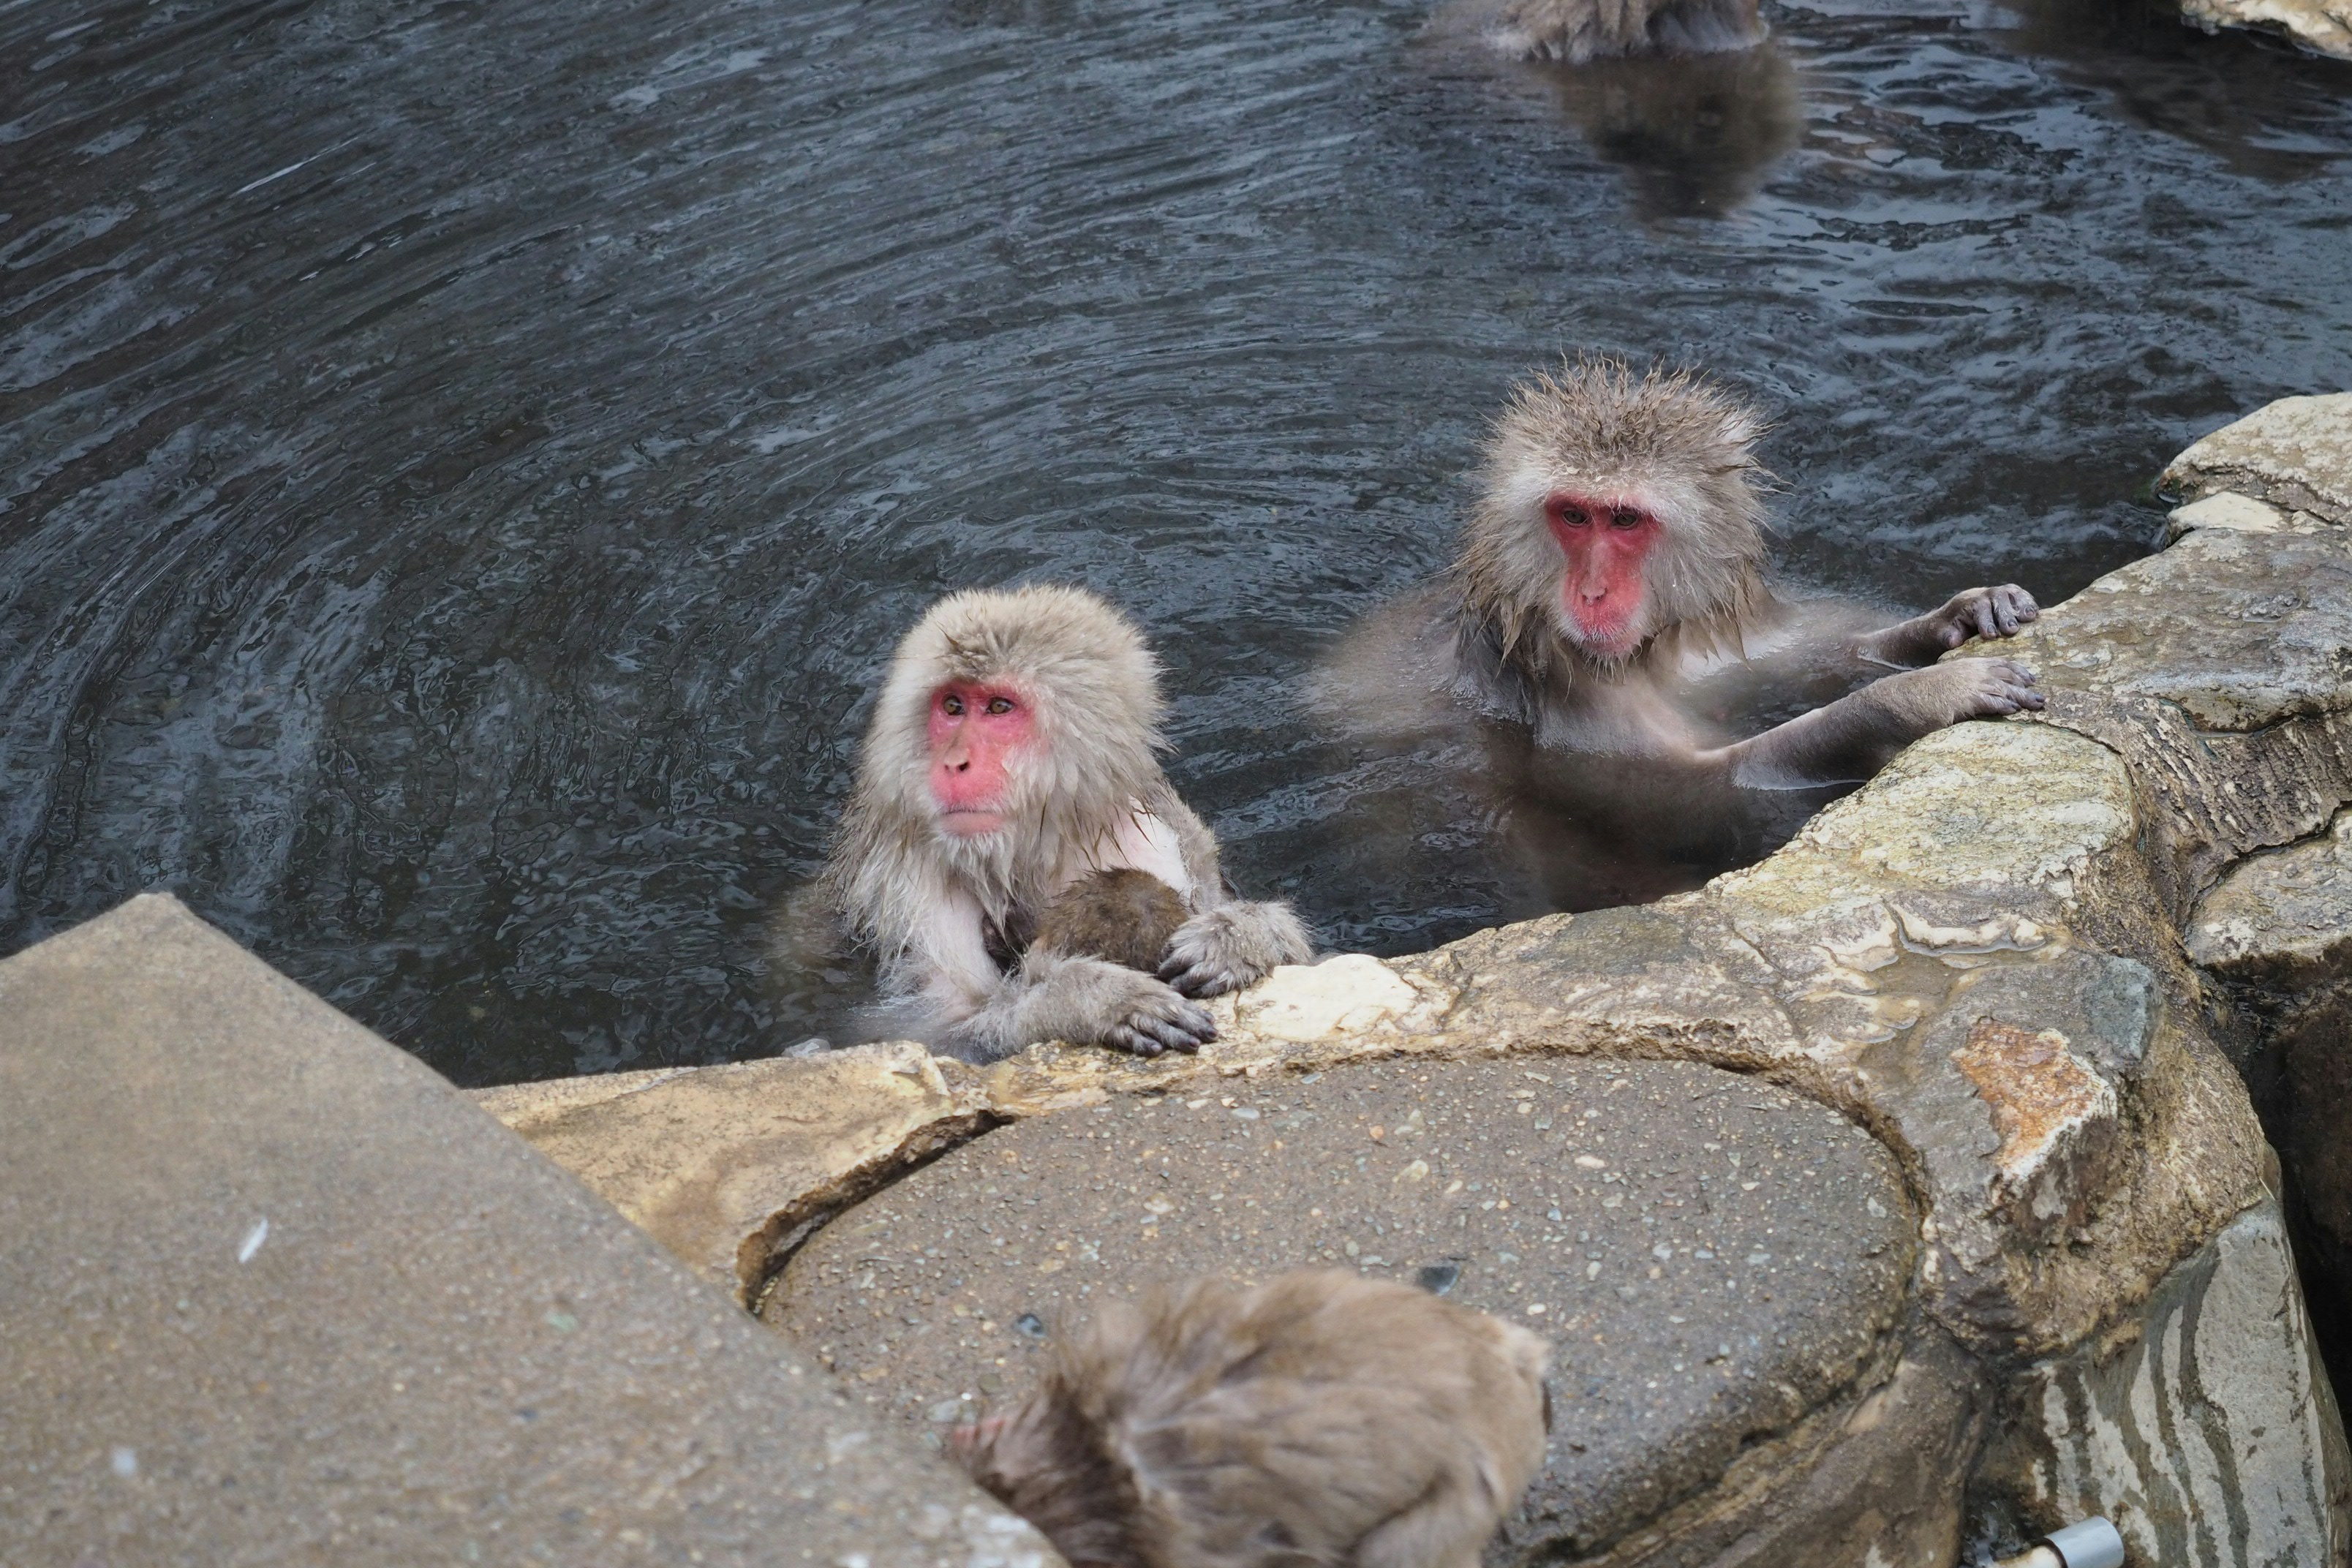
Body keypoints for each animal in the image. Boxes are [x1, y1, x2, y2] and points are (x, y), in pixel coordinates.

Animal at [791, 585, 1315, 1065]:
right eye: (953, 706)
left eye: (999, 707)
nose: (954, 763)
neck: (1031, 846)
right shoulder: (912, 888)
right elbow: (939, 1035)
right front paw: (1089, 1001)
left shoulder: (1153, 833)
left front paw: (1241, 939)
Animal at [1317, 358, 2042, 914]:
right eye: (1573, 516)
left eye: (1624, 520)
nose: (1592, 594)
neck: (1645, 654)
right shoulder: (1569, 682)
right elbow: (1700, 795)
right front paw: (1918, 696)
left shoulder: (1705, 639)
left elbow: (1812, 656)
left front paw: (1954, 617)